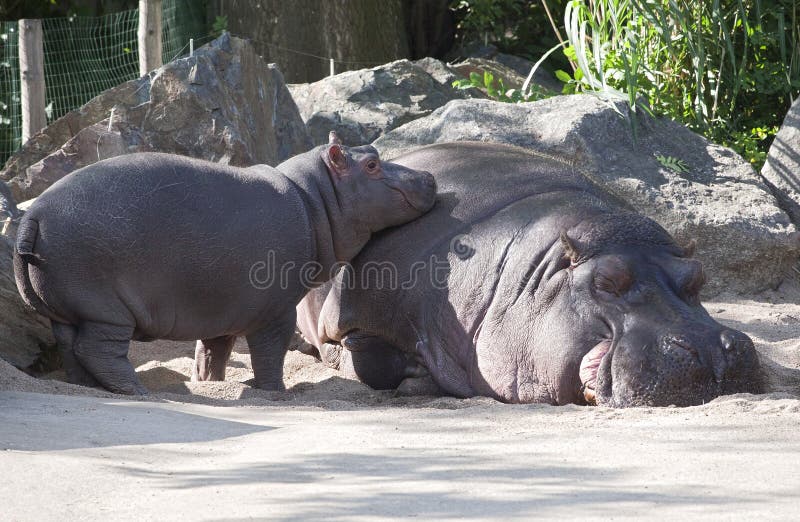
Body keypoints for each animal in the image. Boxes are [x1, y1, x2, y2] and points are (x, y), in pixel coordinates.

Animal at [14, 133, 436, 395]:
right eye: (371, 164)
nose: (429, 175)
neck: (315, 198)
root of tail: (33, 215)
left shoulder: (220, 308)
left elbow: (212, 353)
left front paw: (209, 383)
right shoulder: (276, 309)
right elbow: (270, 353)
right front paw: (274, 391)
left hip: (66, 308)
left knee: (70, 347)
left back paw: (87, 388)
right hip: (105, 309)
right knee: (97, 350)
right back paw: (137, 389)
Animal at [297, 141, 763, 407]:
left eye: (697, 276)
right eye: (605, 281)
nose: (714, 349)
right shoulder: (357, 317)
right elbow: (370, 359)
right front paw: (413, 376)